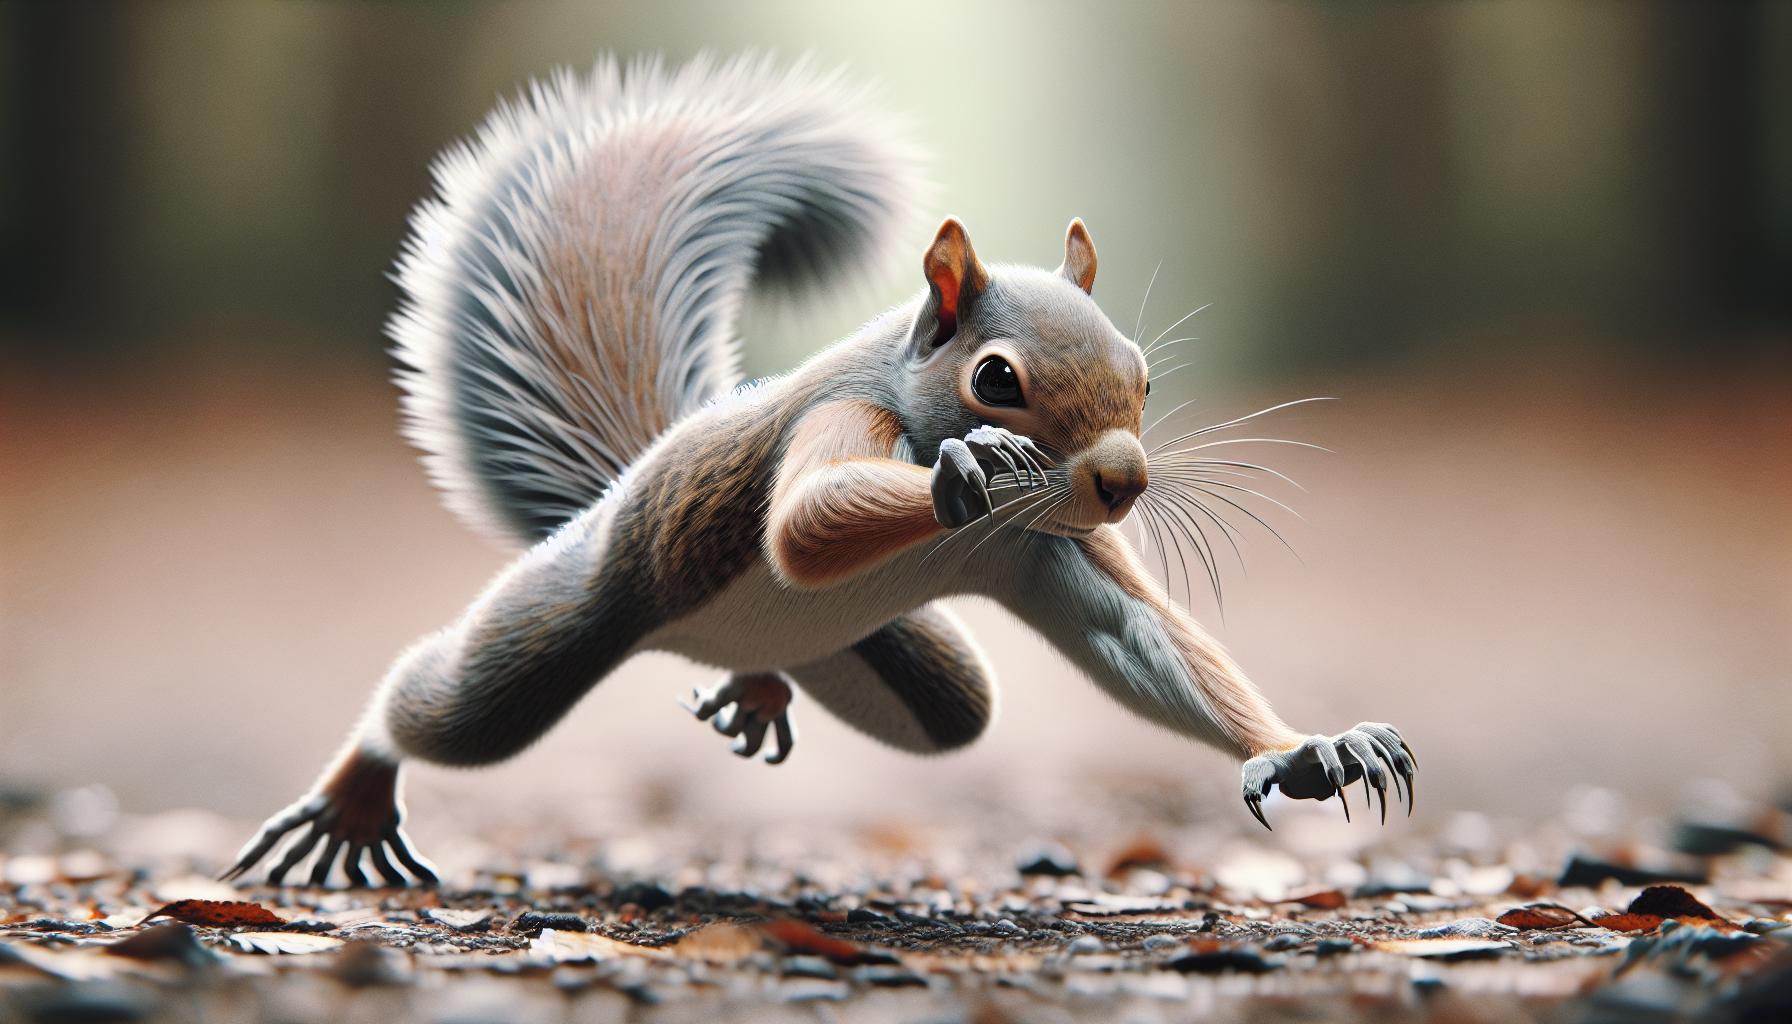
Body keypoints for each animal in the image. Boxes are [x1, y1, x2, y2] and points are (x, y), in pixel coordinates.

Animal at [224, 55, 1416, 888]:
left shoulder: (1046, 553)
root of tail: (625, 484)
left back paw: (757, 688)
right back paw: (358, 792)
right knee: (441, 702)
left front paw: (1304, 752)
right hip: (577, 608)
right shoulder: (844, 420)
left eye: (1145, 377)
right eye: (996, 377)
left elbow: (1139, 635)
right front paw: (970, 462)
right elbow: (801, 522)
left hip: (900, 667)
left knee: (943, 701)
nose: (1121, 483)